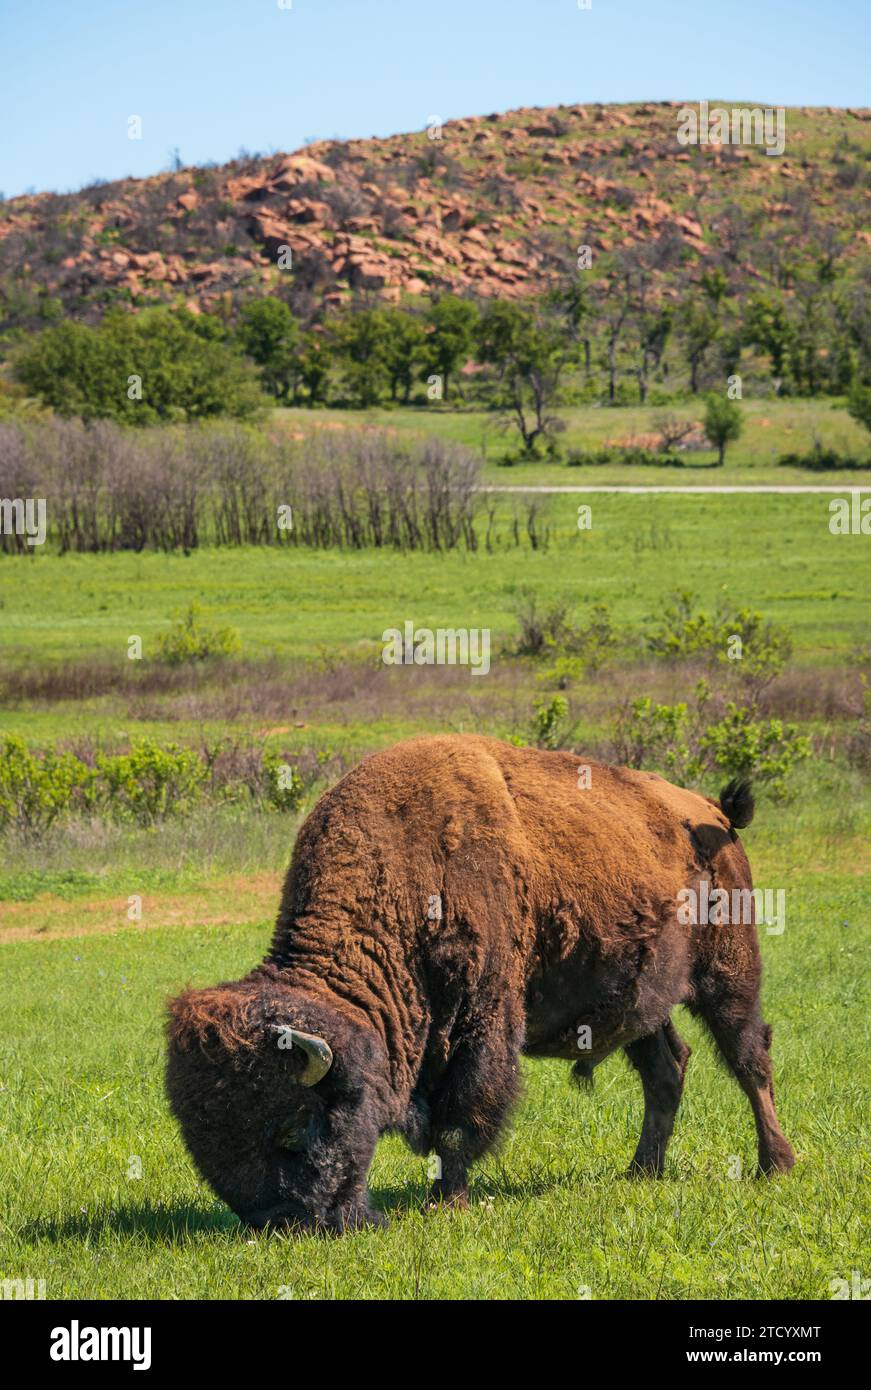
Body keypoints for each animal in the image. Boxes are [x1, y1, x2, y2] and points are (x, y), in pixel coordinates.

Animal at [166, 734, 794, 1232]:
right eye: (202, 1148)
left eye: (293, 1133)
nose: (282, 1224)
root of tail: (712, 813)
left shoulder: (481, 1022)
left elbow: (460, 1116)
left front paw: (446, 1203)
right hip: (642, 999)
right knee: (667, 1068)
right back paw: (642, 1171)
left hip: (729, 973)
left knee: (749, 1059)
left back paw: (775, 1164)